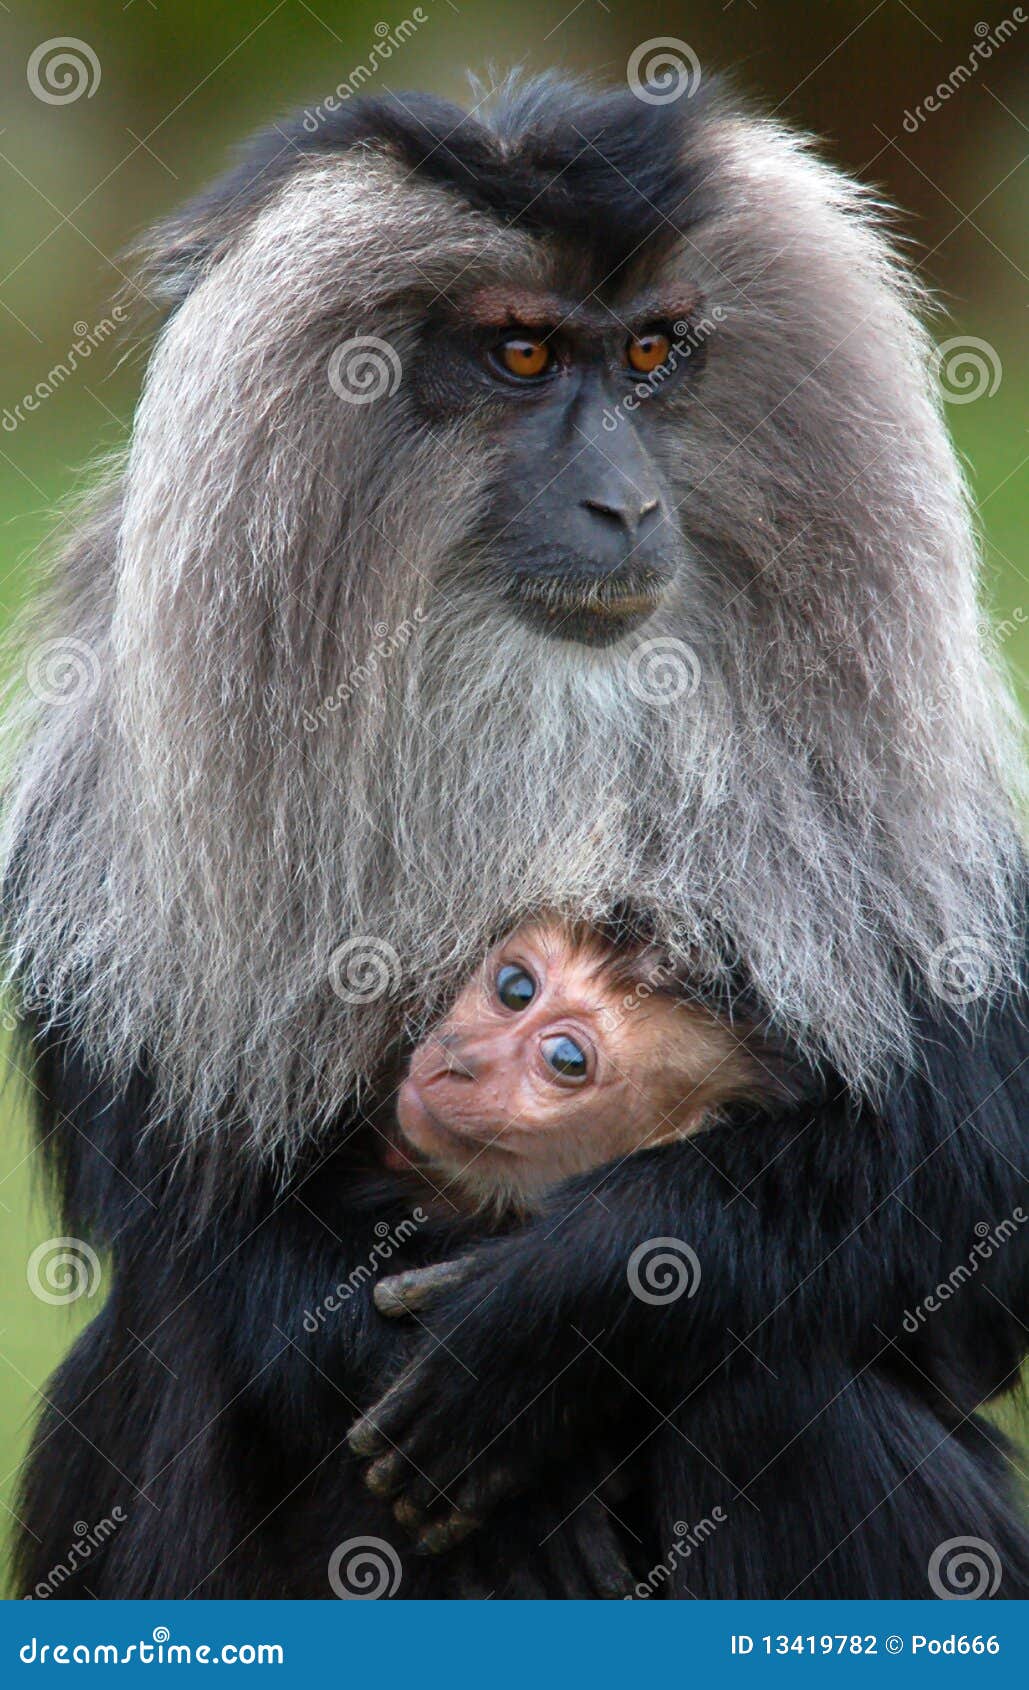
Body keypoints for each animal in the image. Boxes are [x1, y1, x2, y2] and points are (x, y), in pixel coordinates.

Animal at [4, 71, 1027, 1599]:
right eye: (525, 355)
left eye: (653, 351)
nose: (628, 501)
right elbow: (187, 1223)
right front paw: (368, 1335)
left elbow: (977, 1194)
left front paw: (567, 1307)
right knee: (172, 1343)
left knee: (768, 1373)